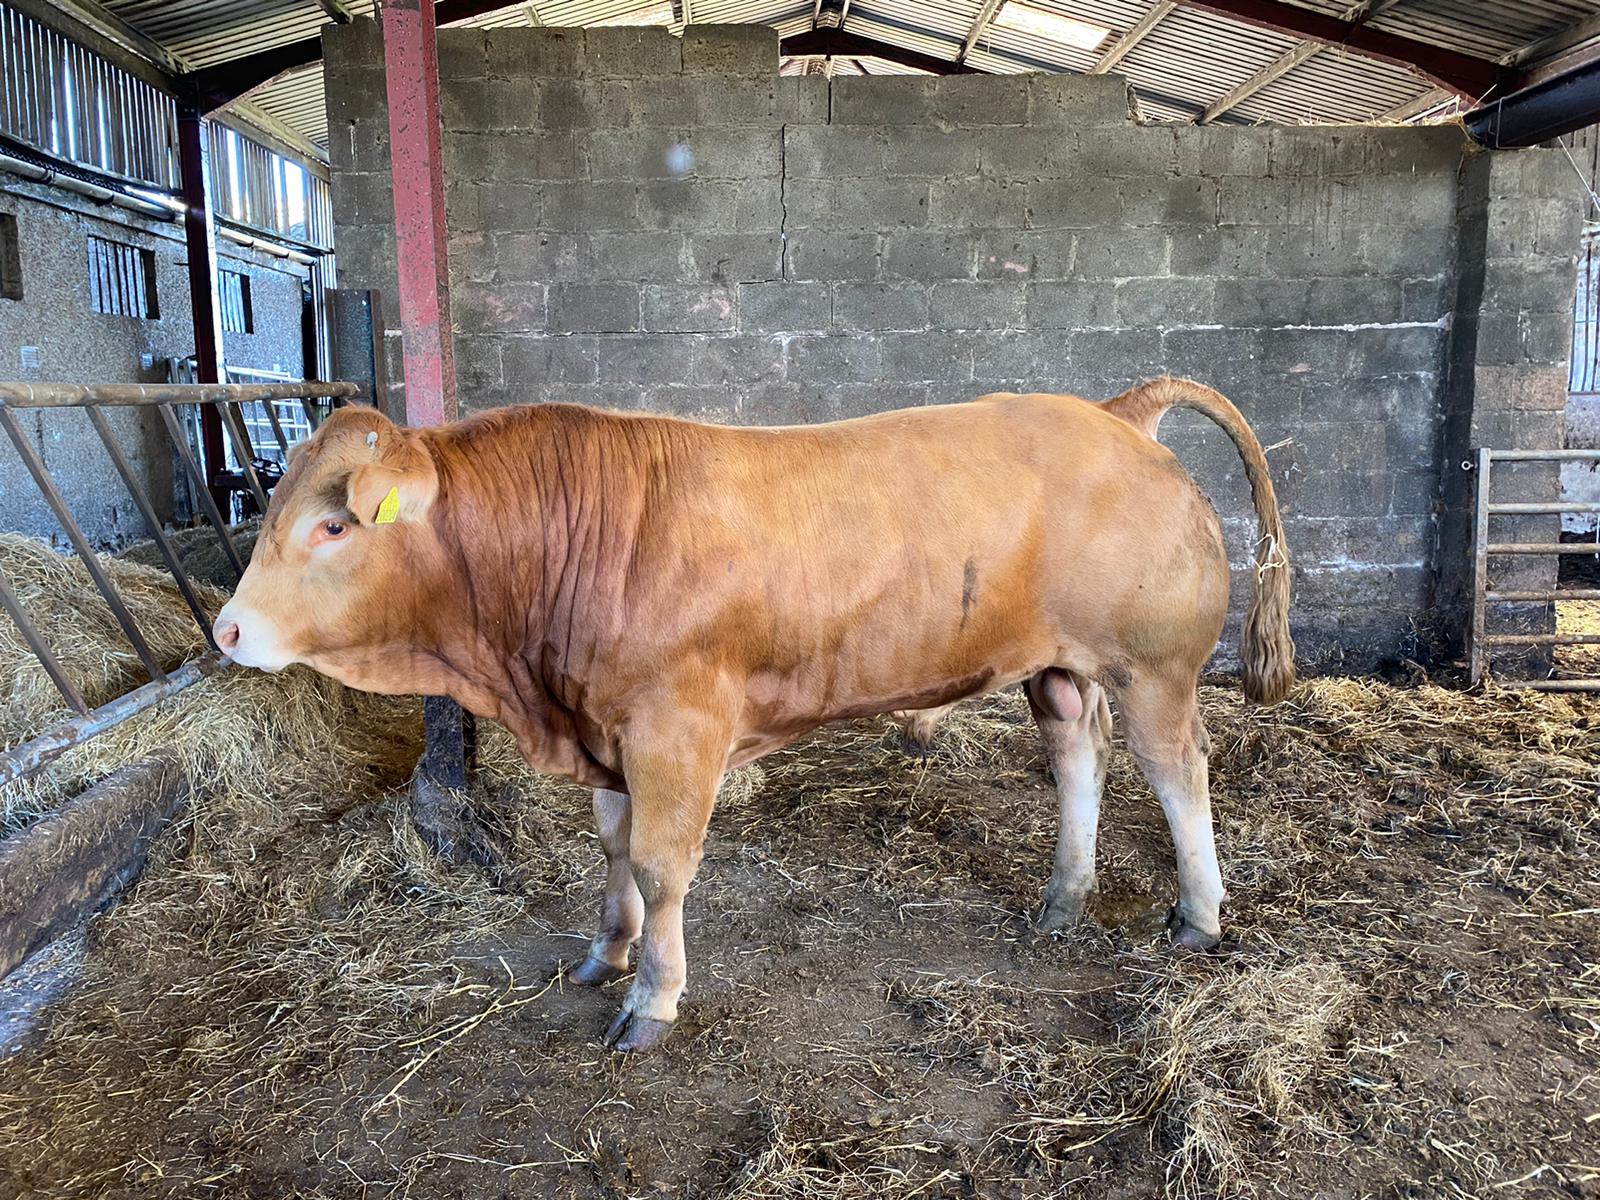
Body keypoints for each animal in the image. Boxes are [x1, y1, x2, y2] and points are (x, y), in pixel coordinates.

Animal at [214, 377, 1294, 1052]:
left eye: (334, 524)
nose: (226, 629)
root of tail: (1117, 414)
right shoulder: (610, 734)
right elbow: (616, 848)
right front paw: (603, 953)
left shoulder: (674, 727)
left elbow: (661, 865)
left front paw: (652, 1000)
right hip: (1060, 668)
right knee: (1079, 753)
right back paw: (1063, 896)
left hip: (1154, 664)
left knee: (1176, 769)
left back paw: (1198, 914)